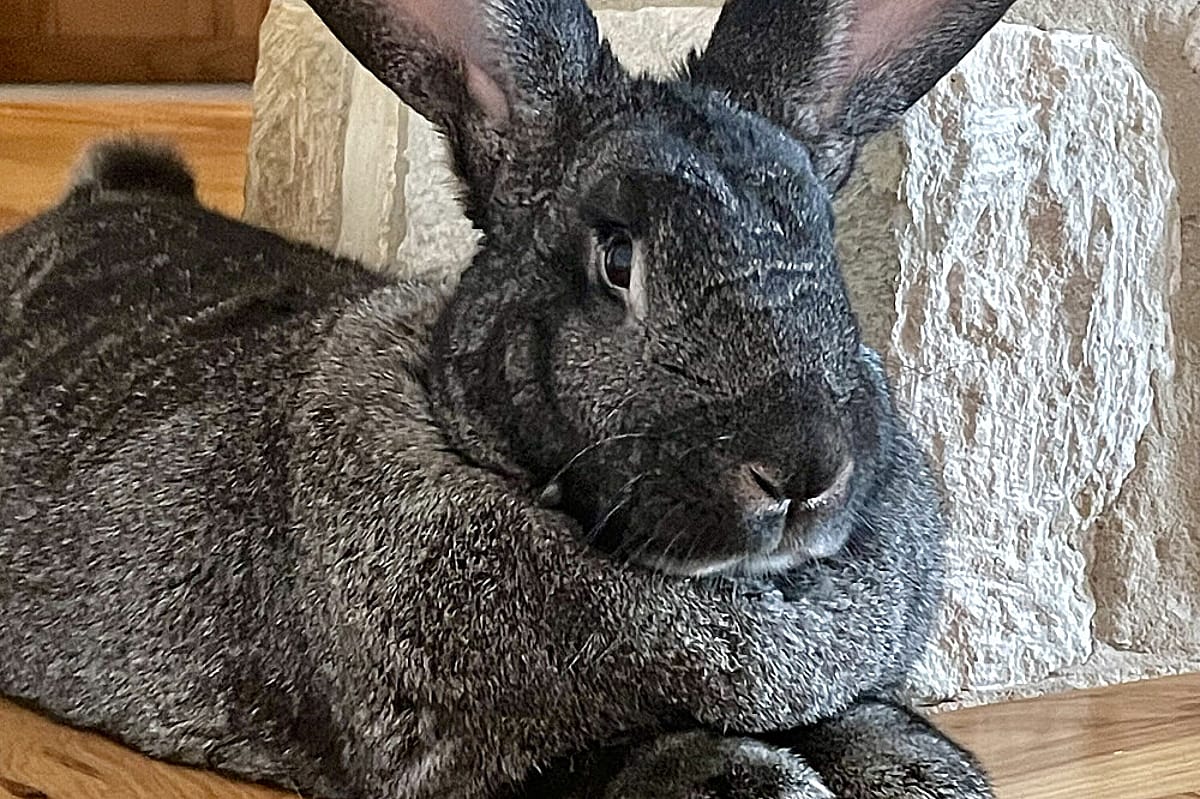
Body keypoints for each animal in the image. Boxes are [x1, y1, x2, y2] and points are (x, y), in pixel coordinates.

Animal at [0, 0, 1016, 797]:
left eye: (827, 247)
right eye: (617, 260)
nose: (802, 467)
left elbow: (872, 725)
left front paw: (929, 775)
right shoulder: (468, 755)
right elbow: (672, 760)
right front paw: (769, 780)